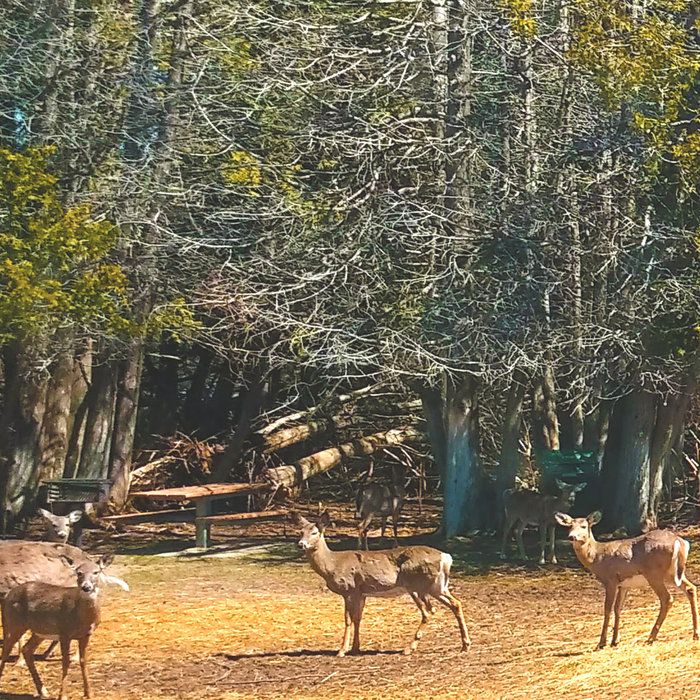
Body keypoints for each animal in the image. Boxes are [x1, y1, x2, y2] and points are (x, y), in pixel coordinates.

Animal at [0, 553, 119, 700]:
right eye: (79, 573)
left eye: (96, 572)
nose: (86, 587)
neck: (81, 618)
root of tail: (9, 594)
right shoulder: (64, 632)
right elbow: (65, 662)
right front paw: (63, 695)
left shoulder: (86, 634)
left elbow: (83, 661)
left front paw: (89, 693)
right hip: (15, 622)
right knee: (5, 651)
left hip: (39, 631)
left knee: (27, 649)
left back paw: (43, 691)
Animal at [291, 511, 470, 656]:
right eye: (300, 532)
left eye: (315, 532)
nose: (301, 544)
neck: (331, 565)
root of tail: (446, 557)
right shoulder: (361, 593)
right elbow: (358, 618)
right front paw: (355, 648)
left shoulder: (349, 589)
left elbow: (348, 620)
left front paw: (342, 650)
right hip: (438, 586)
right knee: (455, 604)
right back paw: (465, 645)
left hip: (417, 585)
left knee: (428, 612)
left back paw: (409, 648)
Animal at [555, 511, 699, 648]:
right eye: (570, 526)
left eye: (584, 526)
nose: (572, 536)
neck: (596, 557)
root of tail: (680, 542)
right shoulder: (624, 585)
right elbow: (618, 608)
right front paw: (615, 641)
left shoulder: (611, 579)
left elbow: (607, 608)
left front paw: (602, 643)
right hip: (673, 574)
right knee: (690, 588)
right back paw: (695, 633)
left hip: (654, 573)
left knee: (667, 598)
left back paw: (651, 638)